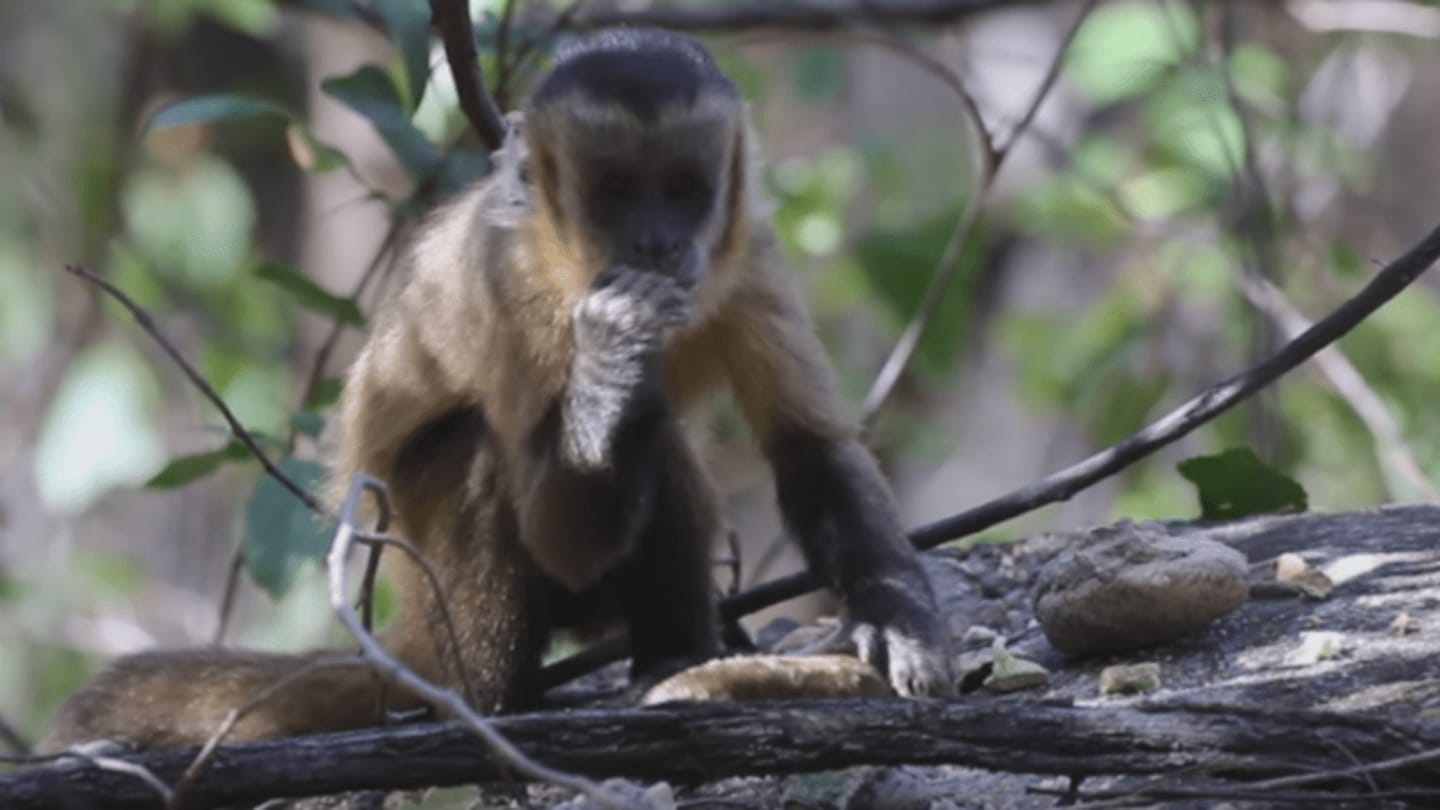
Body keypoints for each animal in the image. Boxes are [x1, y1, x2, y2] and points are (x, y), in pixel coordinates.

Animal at [39, 27, 953, 754]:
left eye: (683, 189)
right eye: (616, 191)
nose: (657, 245)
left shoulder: (750, 251)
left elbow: (813, 450)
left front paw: (896, 620)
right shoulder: (509, 291)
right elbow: (557, 531)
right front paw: (614, 358)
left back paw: (676, 658)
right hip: (425, 577)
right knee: (489, 456)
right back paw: (491, 699)